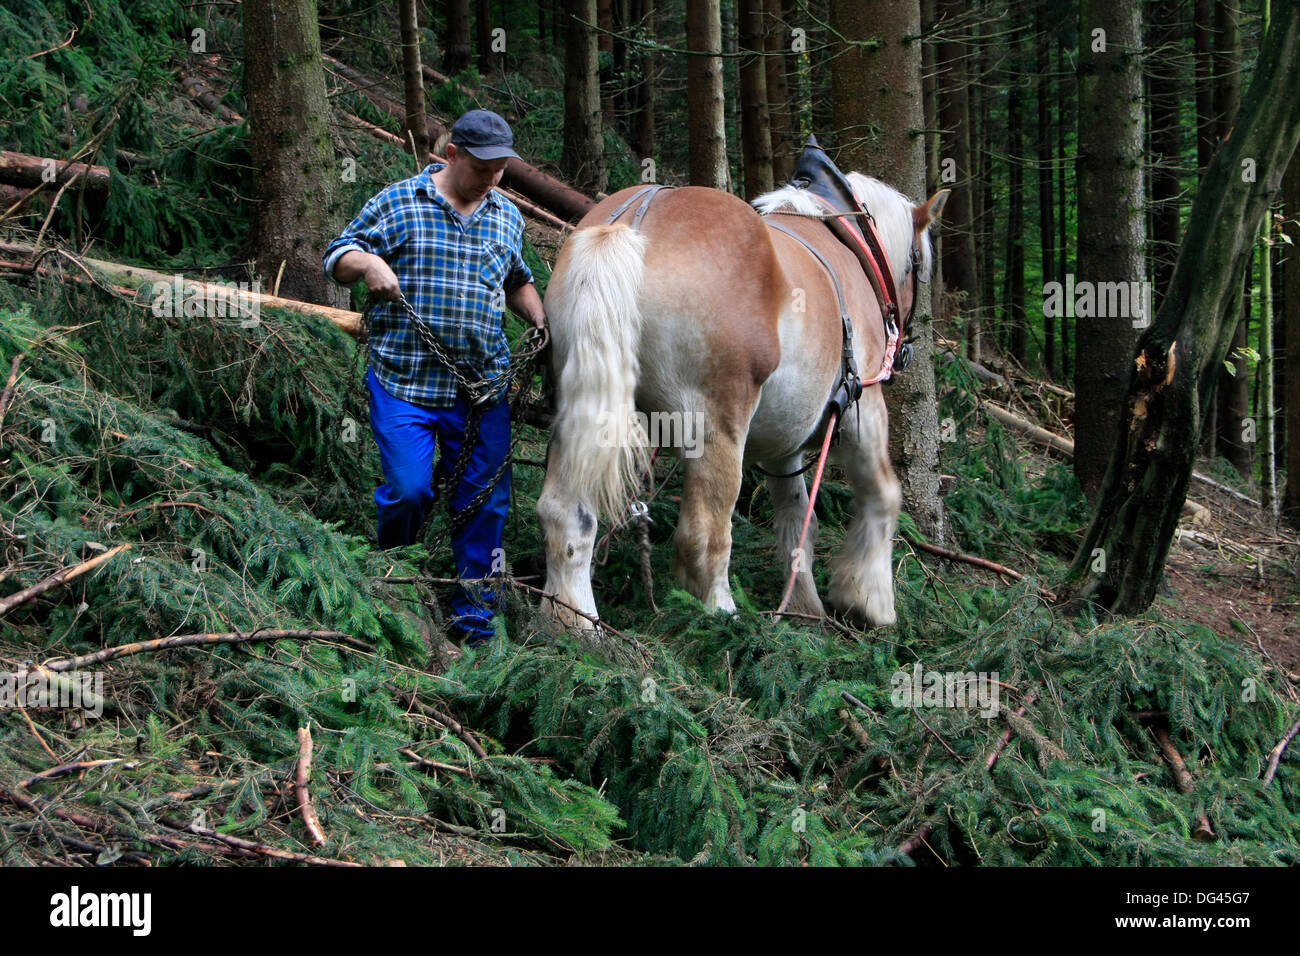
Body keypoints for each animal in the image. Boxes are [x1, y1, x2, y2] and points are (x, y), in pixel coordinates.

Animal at [537, 170, 947, 630]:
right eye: (921, 266)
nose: (906, 345)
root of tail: (635, 220)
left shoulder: (784, 445)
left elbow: (797, 519)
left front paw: (804, 604)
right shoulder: (863, 410)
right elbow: (884, 496)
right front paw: (869, 600)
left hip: (578, 409)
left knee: (566, 514)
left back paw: (573, 620)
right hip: (717, 426)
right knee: (704, 531)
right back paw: (723, 614)